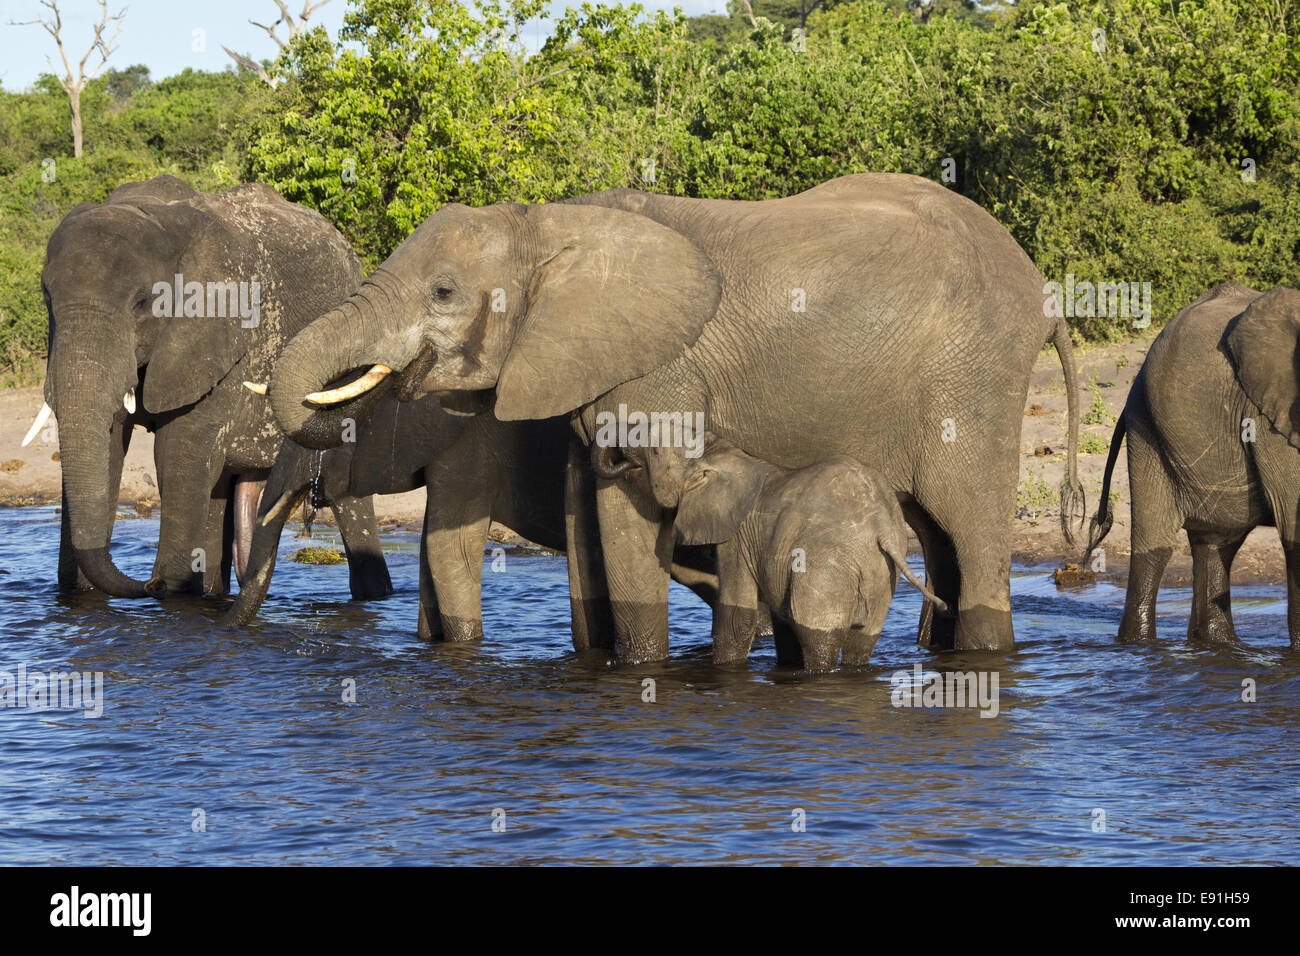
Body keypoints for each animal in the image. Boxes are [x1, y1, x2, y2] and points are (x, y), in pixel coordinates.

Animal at [32, 174, 390, 600]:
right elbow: (111, 447)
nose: (149, 584)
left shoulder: (221, 339)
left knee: (351, 503)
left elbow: (177, 452)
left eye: (141, 302)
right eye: (47, 297)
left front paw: (171, 588)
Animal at [596, 437, 947, 670]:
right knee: (861, 642)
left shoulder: (736, 535)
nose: (615, 451)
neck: (721, 452)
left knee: (819, 637)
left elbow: (737, 616)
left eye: (655, 453)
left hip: (827, 567)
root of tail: (882, 528)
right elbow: (782, 617)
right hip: (879, 572)